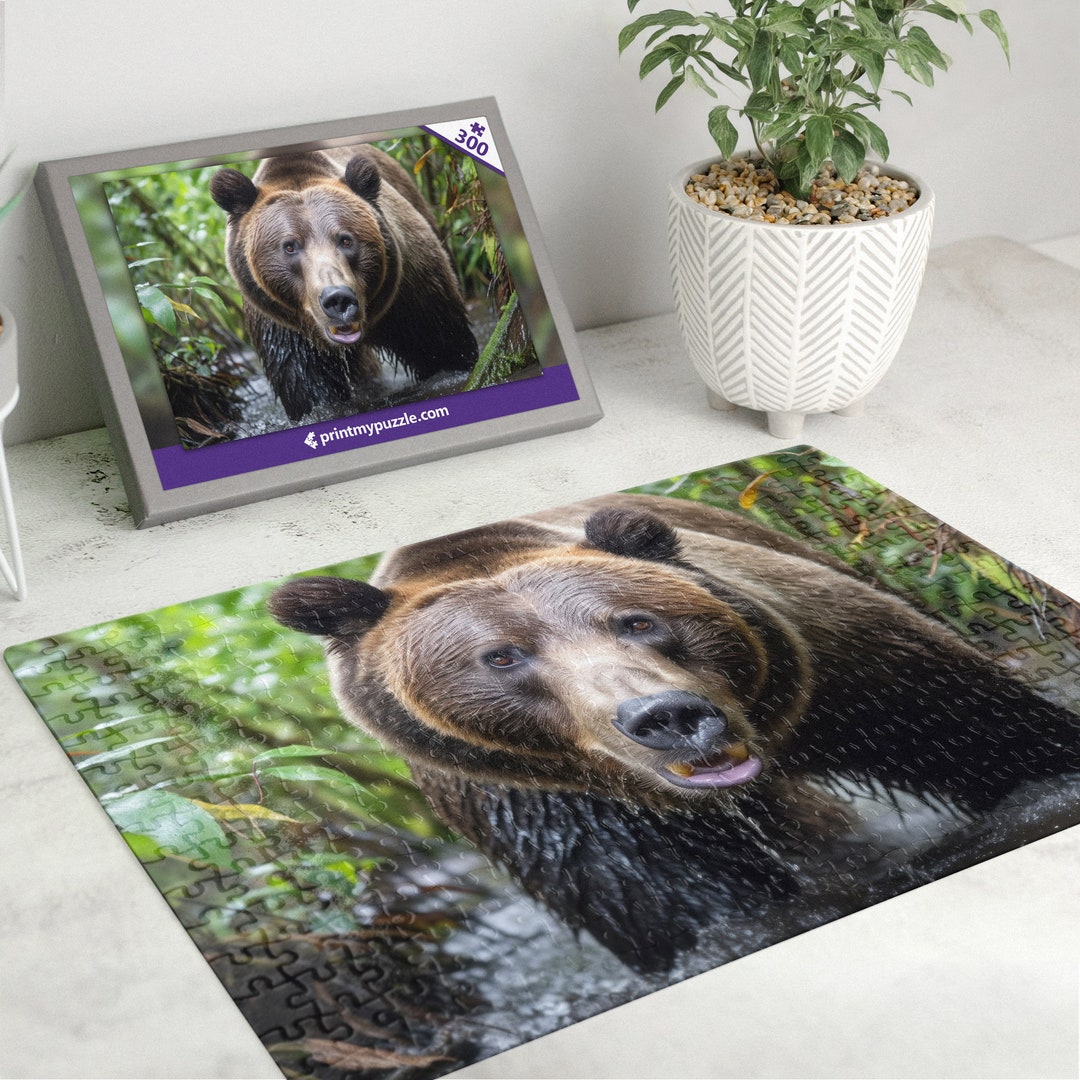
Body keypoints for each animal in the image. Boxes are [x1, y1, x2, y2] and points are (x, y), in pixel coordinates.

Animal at [209, 144, 479, 422]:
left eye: (346, 239)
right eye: (290, 246)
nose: (338, 298)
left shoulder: (413, 292)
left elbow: (443, 349)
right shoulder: (286, 333)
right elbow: (310, 390)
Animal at [268, 493, 1080, 973]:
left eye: (637, 621)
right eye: (501, 657)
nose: (667, 716)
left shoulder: (844, 661)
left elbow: (985, 734)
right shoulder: (548, 803)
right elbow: (682, 905)